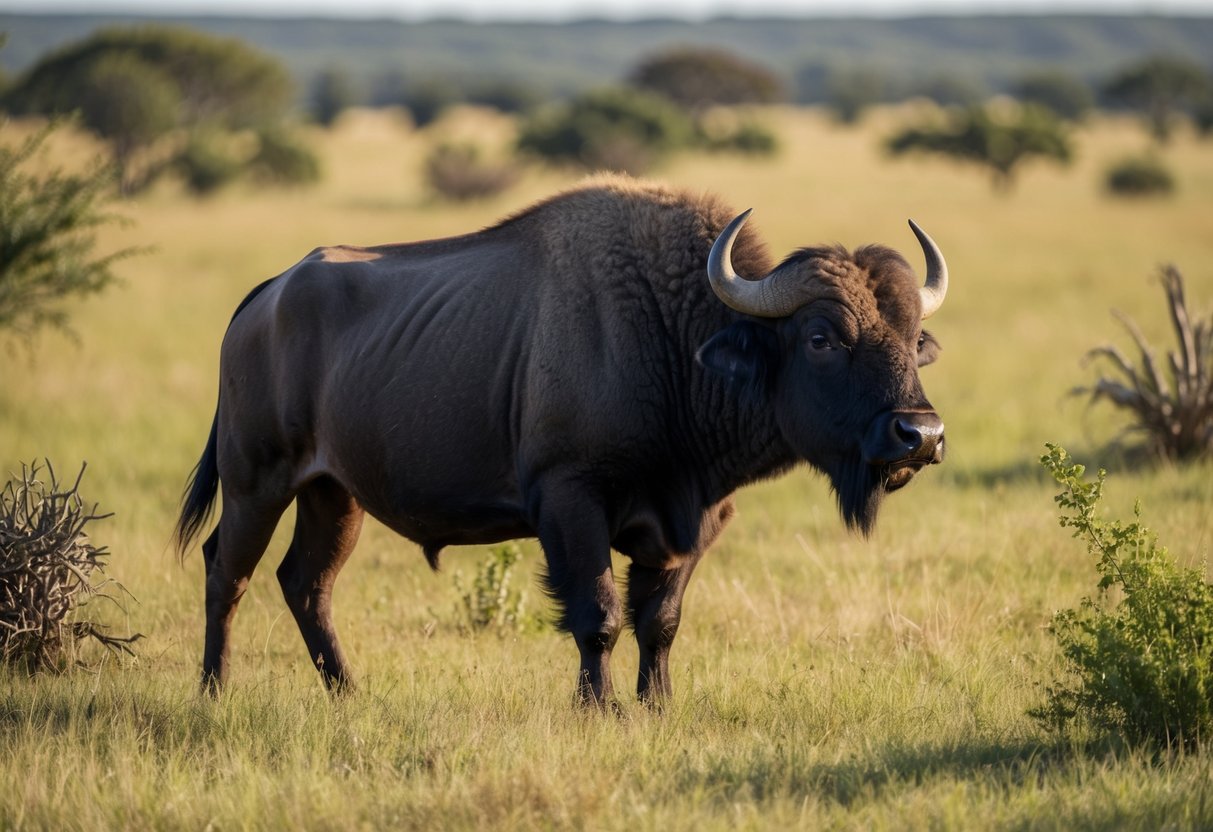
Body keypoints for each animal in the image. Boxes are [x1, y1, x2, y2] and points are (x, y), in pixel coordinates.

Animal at [175, 175, 948, 705]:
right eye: (821, 338)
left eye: (914, 339)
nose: (921, 434)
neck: (671, 335)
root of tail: (268, 295)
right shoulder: (570, 503)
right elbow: (597, 616)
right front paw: (598, 708)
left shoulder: (693, 526)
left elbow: (660, 621)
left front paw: (655, 705)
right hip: (257, 484)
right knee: (227, 571)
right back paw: (213, 691)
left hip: (335, 498)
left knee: (306, 584)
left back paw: (347, 693)